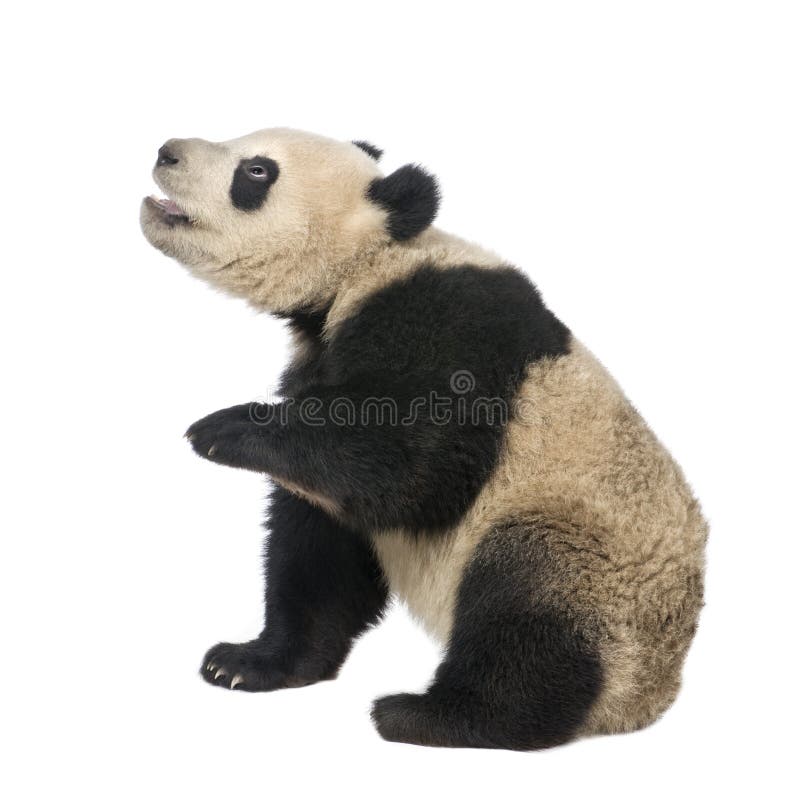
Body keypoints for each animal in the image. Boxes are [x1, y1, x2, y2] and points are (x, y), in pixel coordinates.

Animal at [140, 127, 707, 750]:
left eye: (257, 171)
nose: (167, 151)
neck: (372, 260)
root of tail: (648, 699)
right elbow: (319, 542)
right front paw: (247, 663)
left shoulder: (450, 323)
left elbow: (414, 466)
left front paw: (223, 428)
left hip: (593, 563)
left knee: (525, 605)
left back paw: (435, 714)